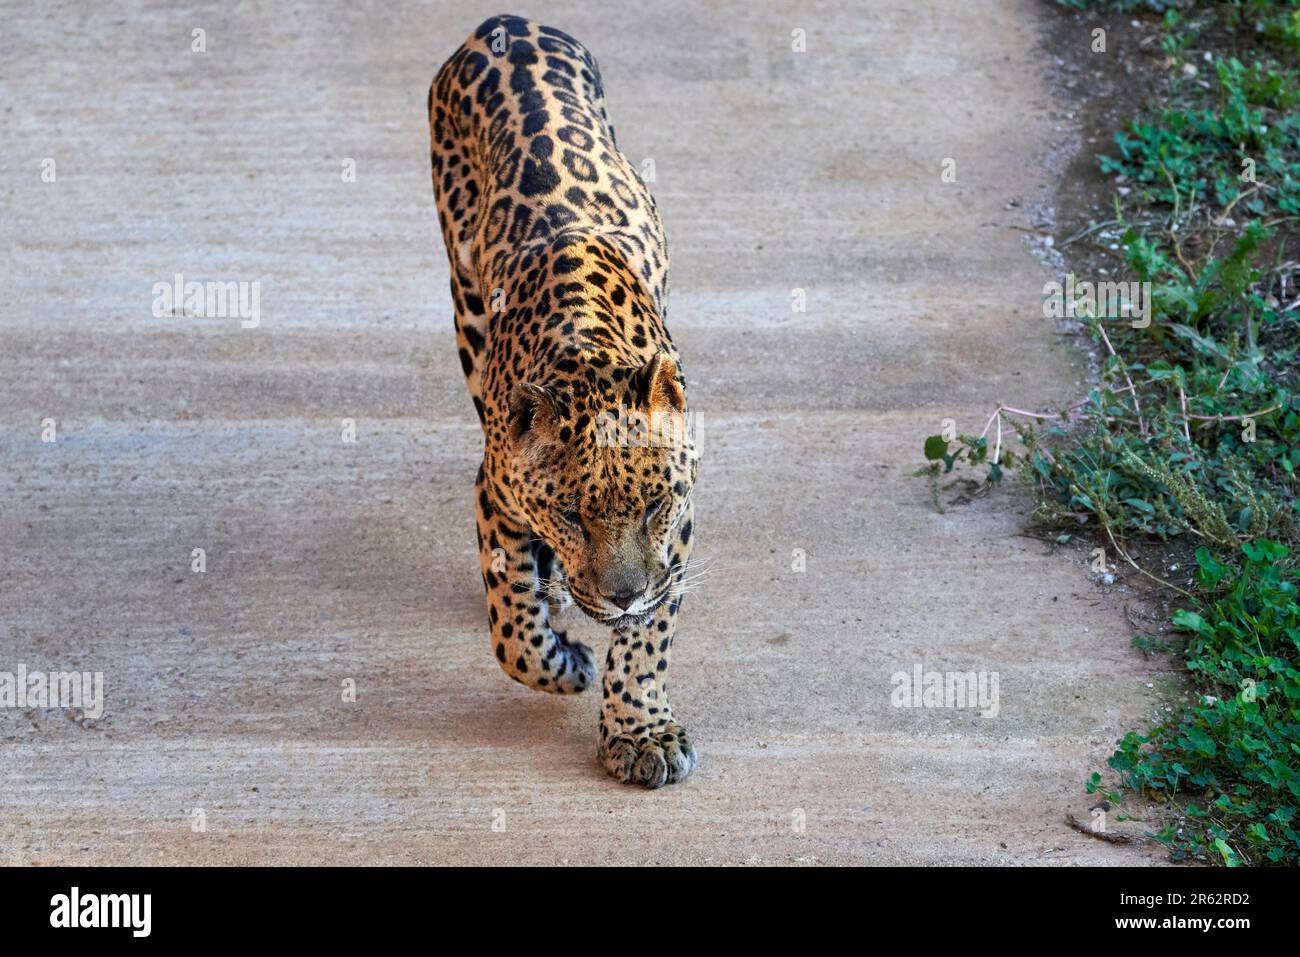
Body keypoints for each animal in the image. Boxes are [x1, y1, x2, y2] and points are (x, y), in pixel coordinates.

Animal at [428, 15, 700, 788]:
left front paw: (641, 733)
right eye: (572, 514)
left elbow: (649, 638)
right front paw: (564, 662)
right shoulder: (494, 490)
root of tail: (504, 22)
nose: (621, 593)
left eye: (654, 505)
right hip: (464, 313)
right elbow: (512, 627)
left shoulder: (677, 534)